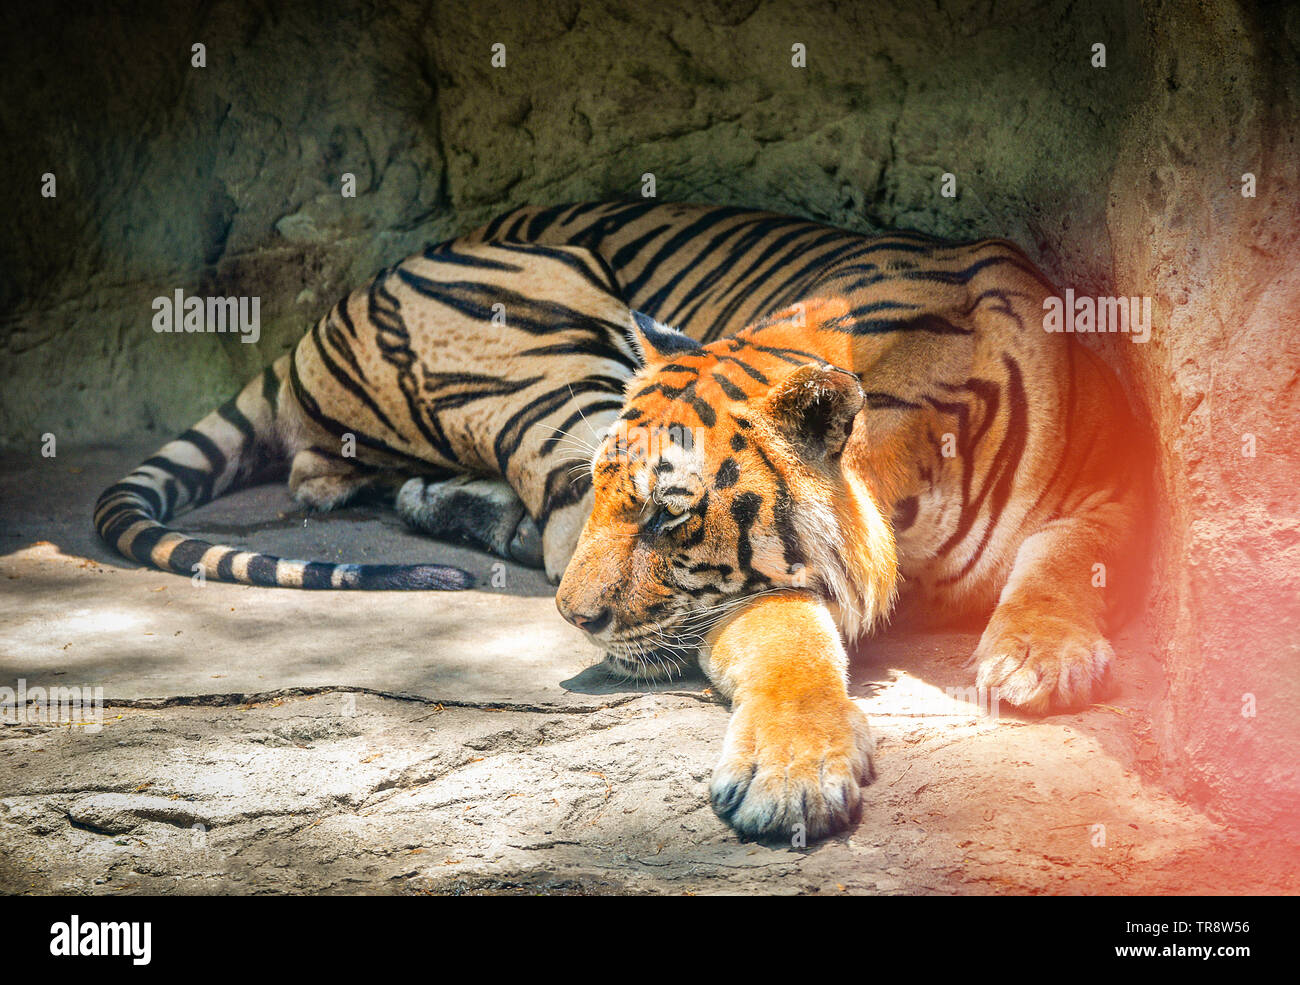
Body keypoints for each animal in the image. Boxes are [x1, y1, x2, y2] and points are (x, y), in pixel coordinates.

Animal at [95, 200, 1145, 840]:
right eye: (620, 497)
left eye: (666, 519)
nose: (573, 619)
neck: (914, 474)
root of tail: (328, 312)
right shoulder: (737, 596)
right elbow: (788, 648)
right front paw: (791, 774)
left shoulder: (1119, 477)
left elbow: (1077, 554)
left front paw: (1037, 660)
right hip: (547, 338)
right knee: (487, 504)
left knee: (343, 479)